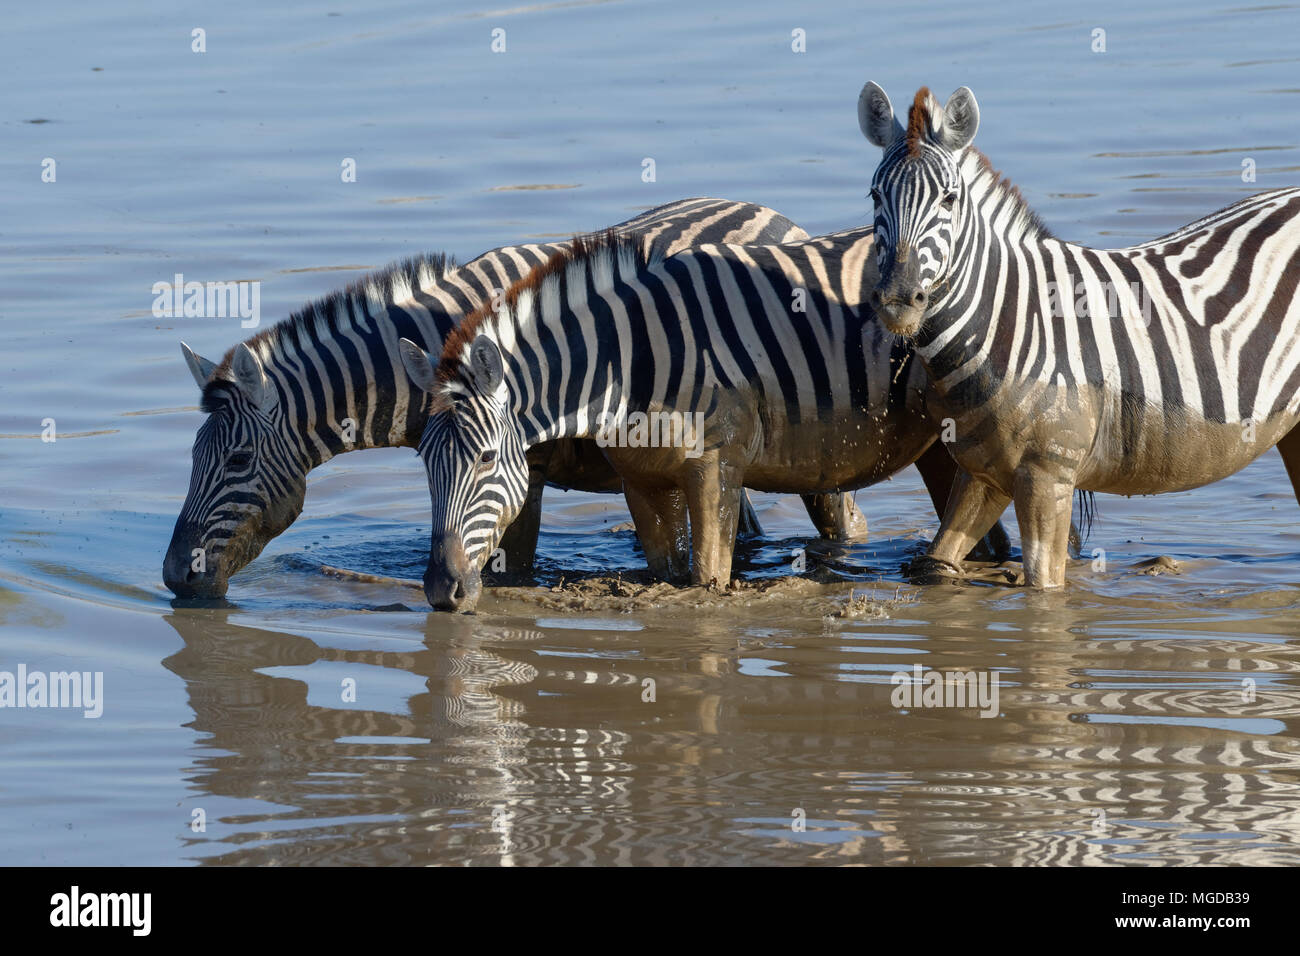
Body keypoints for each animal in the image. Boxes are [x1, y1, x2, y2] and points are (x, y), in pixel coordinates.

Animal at [165, 196, 873, 598]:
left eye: (234, 463)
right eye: (192, 463)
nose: (174, 577)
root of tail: (773, 215)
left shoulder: (520, 465)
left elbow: (512, 561)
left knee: (845, 519)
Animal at [395, 227, 1013, 608]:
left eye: (486, 459)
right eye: (422, 464)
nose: (440, 592)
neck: (628, 365)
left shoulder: (717, 468)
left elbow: (707, 578)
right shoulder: (641, 479)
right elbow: (667, 570)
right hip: (934, 444)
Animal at [857, 83, 1300, 590]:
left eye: (949, 200)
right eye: (875, 195)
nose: (898, 299)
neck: (1004, 324)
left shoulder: (1049, 477)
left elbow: (1044, 592)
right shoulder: (981, 473)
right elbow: (939, 560)